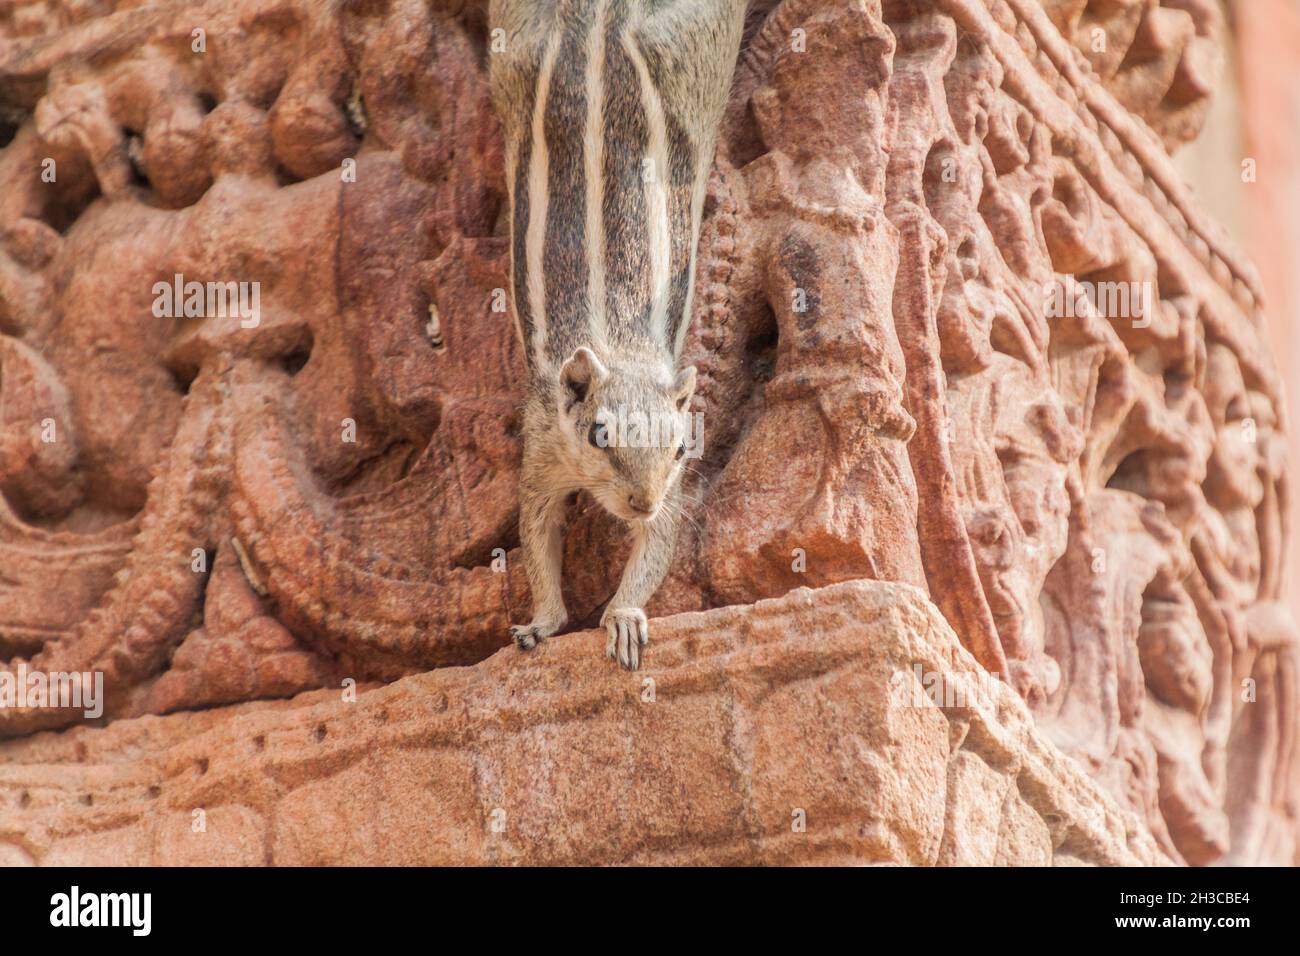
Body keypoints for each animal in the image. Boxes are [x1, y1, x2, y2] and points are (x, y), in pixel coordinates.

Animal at [488, 0, 746, 668]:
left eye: (682, 449)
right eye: (599, 435)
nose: (641, 501)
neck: (620, 351)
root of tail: (597, 18)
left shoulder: (676, 492)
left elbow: (659, 542)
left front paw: (624, 616)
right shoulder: (544, 446)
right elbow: (537, 533)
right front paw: (543, 622)